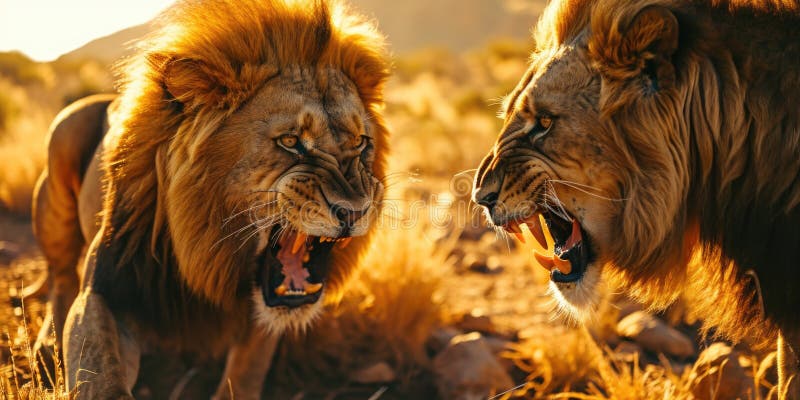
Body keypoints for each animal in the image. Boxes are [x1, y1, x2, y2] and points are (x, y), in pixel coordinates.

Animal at [31, 0, 389, 397]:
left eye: (361, 143)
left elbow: (247, 370)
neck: (206, 249)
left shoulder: (258, 310)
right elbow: (99, 373)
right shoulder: (107, 287)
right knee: (60, 274)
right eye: (290, 141)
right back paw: (46, 349)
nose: (355, 212)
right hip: (63, 146)